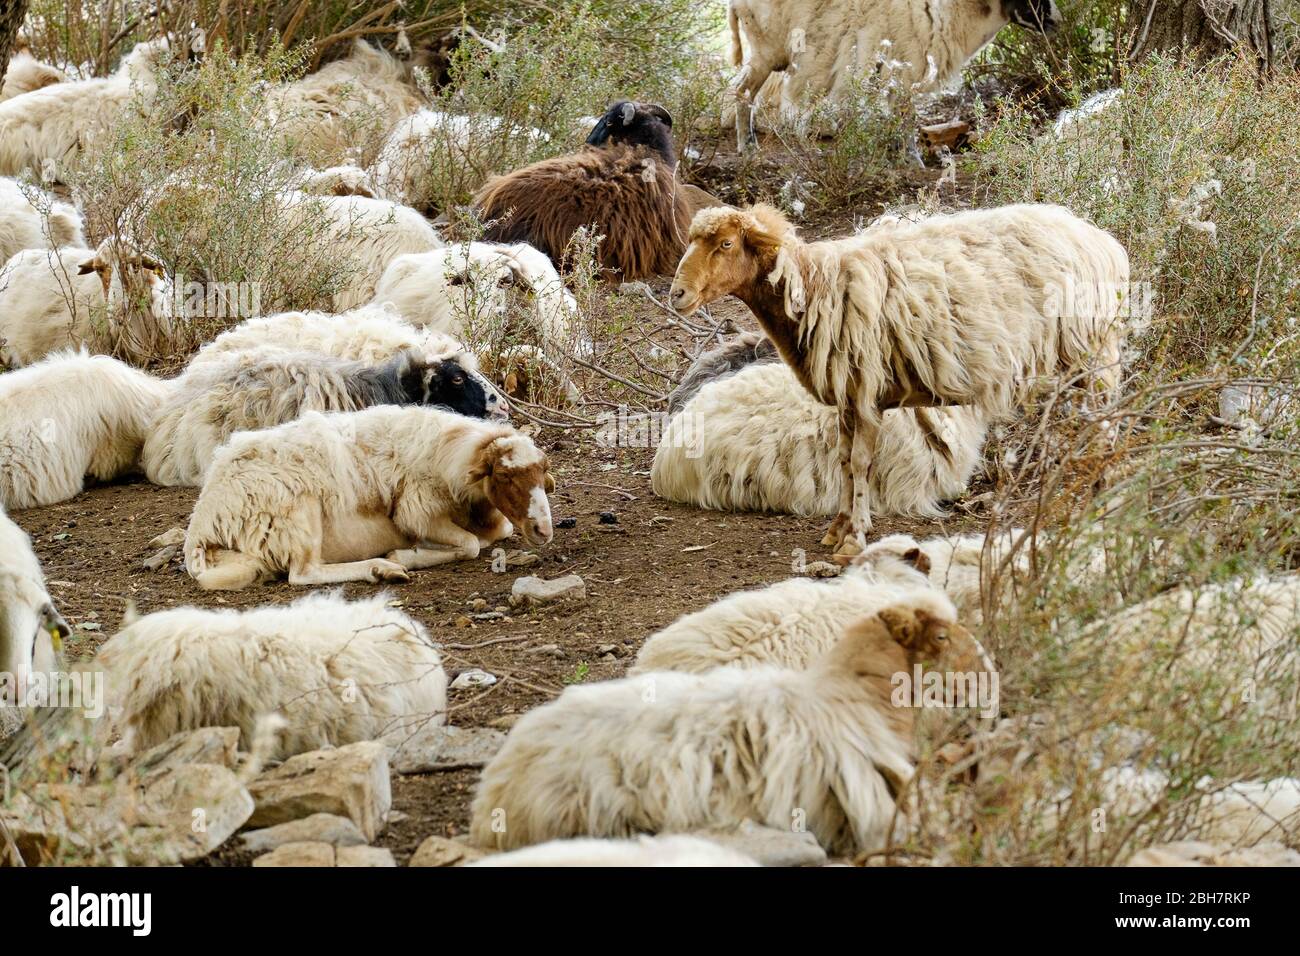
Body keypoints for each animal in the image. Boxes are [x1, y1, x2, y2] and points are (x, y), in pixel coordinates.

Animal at [183, 405, 554, 590]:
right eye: (504, 476)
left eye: (542, 472)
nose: (544, 531)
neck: (447, 451)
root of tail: (203, 522)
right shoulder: (417, 511)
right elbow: (471, 545)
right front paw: (405, 555)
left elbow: (497, 532)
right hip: (297, 512)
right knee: (303, 573)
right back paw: (381, 569)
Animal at [727, 0, 1062, 150]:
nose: (1056, 21)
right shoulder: (906, 66)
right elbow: (904, 119)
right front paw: (910, 158)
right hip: (767, 47)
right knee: (742, 92)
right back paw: (749, 147)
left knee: (741, 90)